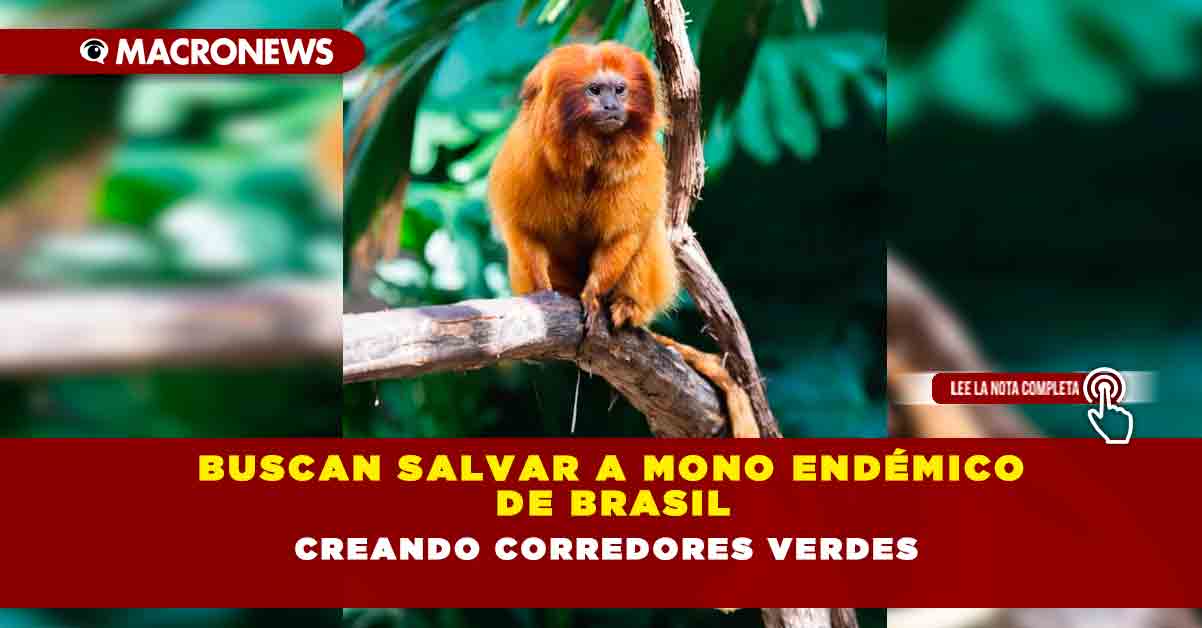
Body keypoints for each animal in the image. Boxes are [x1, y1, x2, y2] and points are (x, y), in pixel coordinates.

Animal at [487, 42, 758, 438]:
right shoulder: (525, 155)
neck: (588, 150)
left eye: (620, 90)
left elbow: (625, 234)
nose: (611, 106)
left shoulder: (643, 164)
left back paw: (628, 307)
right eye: (595, 91)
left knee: (648, 235)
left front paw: (593, 296)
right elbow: (525, 231)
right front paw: (544, 292)